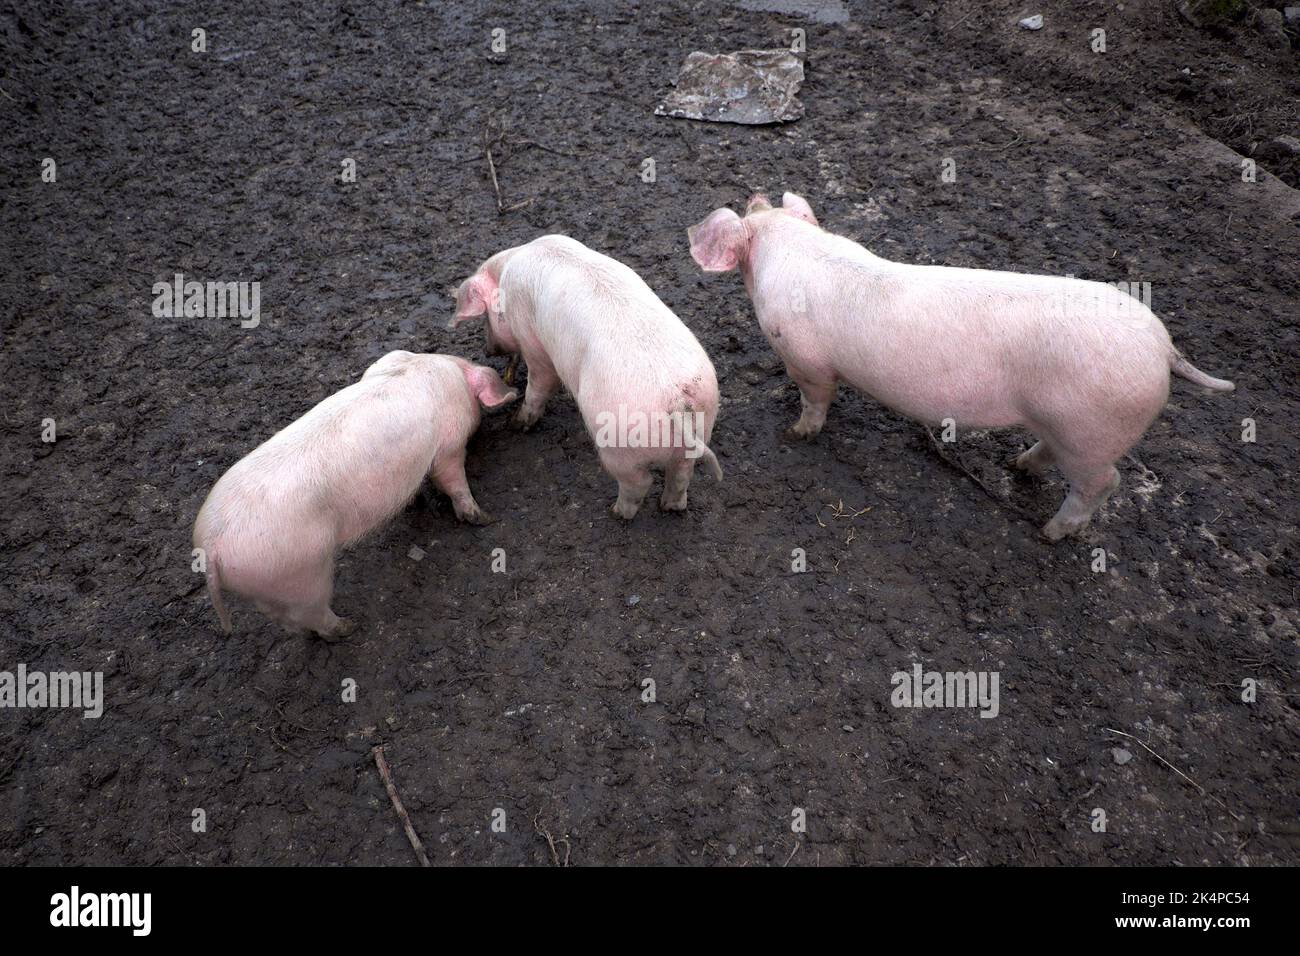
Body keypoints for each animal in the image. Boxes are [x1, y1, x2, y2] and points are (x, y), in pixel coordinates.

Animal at [192, 351, 517, 638]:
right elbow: (453, 480)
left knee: (280, 616)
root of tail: (210, 547)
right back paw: (348, 628)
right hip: (298, 574)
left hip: (267, 583)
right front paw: (483, 518)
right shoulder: (449, 444)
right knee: (313, 613)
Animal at [449, 235, 723, 519]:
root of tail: (677, 404)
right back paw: (670, 507)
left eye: (486, 319)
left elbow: (540, 382)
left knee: (638, 482)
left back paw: (615, 513)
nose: (488, 350)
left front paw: (516, 423)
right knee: (682, 473)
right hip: (702, 421)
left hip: (616, 439)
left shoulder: (530, 335)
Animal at [688, 192, 1235, 541]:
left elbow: (816, 397)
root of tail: (1163, 348)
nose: (755, 192)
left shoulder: (806, 357)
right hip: (1068, 425)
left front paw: (796, 433)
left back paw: (1050, 533)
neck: (789, 246)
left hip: (1093, 430)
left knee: (1104, 484)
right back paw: (1016, 467)